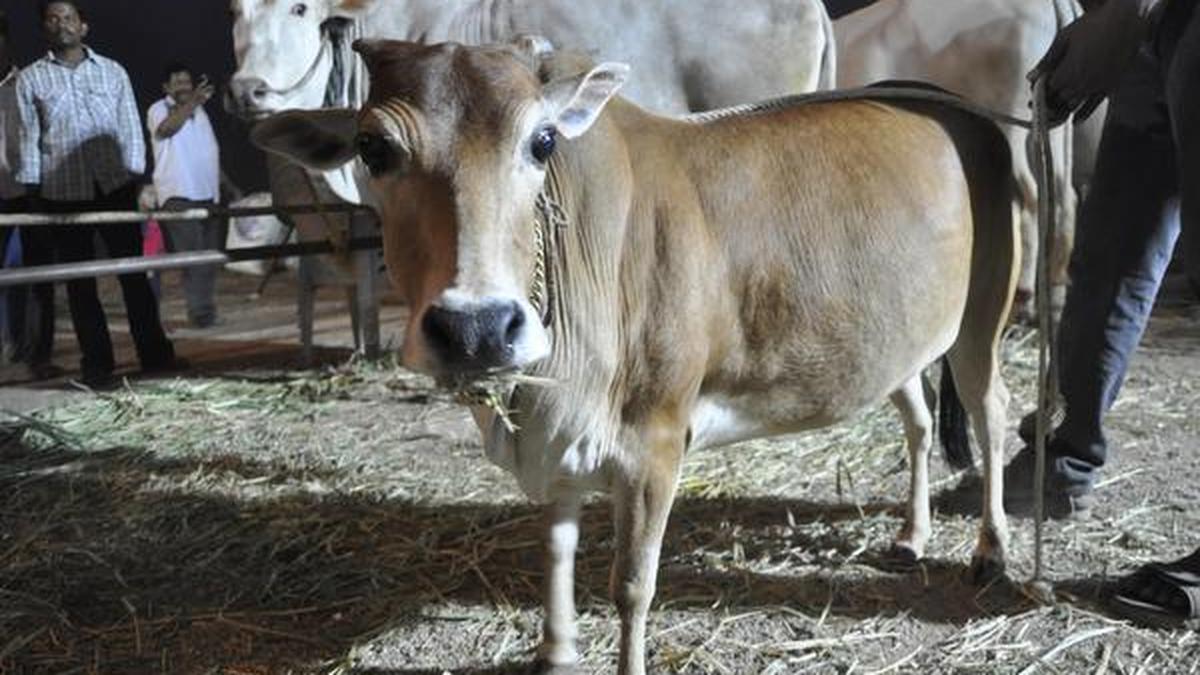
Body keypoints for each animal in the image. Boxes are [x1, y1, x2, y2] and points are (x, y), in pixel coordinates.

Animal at [252, 39, 1019, 675]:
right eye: (372, 147)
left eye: (543, 140)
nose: (477, 327)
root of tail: (950, 103)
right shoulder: (559, 441)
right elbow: (557, 551)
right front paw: (555, 651)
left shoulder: (657, 440)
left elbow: (632, 584)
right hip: (896, 337)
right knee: (918, 416)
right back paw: (911, 535)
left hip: (984, 312)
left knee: (990, 412)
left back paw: (991, 550)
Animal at [835, 0, 1098, 322]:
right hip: (1052, 125)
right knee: (1062, 198)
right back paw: (1055, 298)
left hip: (1009, 124)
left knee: (1030, 198)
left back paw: (1023, 298)